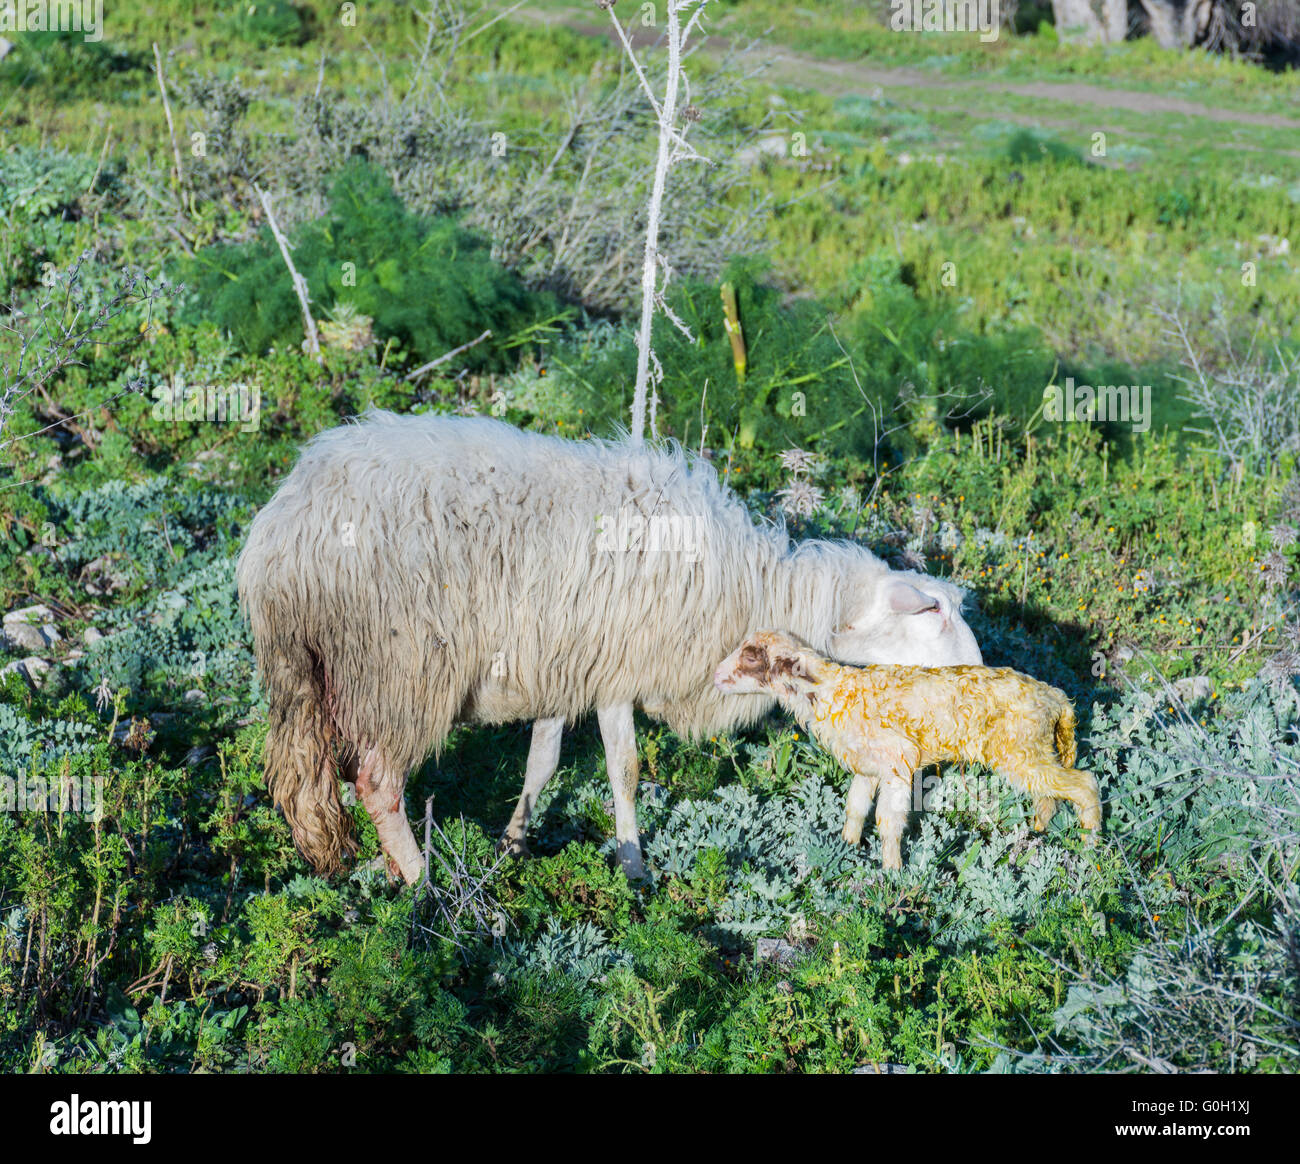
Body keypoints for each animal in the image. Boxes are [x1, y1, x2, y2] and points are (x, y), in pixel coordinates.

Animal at [236, 411, 983, 884]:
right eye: (934, 615)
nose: (981, 678)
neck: (750, 587)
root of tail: (285, 529)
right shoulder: (619, 666)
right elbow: (624, 768)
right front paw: (634, 863)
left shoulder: (564, 666)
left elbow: (542, 763)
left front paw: (514, 842)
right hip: (400, 666)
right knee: (378, 783)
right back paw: (423, 885)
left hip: (306, 672)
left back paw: (381, 869)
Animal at [713, 630, 1100, 870]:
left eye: (751, 657)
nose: (716, 676)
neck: (833, 692)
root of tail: (1056, 698)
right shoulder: (868, 767)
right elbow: (856, 808)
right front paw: (848, 847)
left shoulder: (898, 760)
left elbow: (888, 820)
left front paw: (892, 870)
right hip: (1032, 749)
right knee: (1048, 796)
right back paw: (1038, 833)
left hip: (1020, 750)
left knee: (1084, 784)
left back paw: (1091, 848)